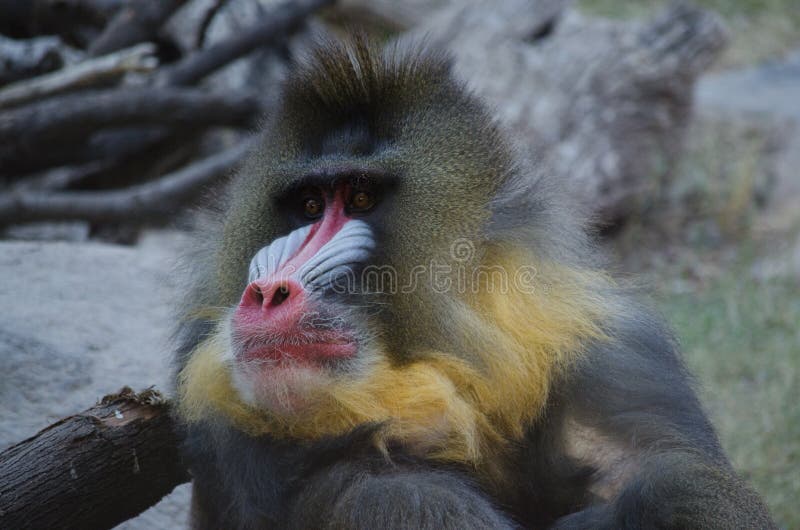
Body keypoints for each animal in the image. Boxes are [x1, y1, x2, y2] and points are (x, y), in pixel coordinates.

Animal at [171, 36, 776, 529]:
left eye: (361, 197)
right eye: (310, 205)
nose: (268, 294)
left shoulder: (607, 354)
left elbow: (670, 477)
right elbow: (390, 496)